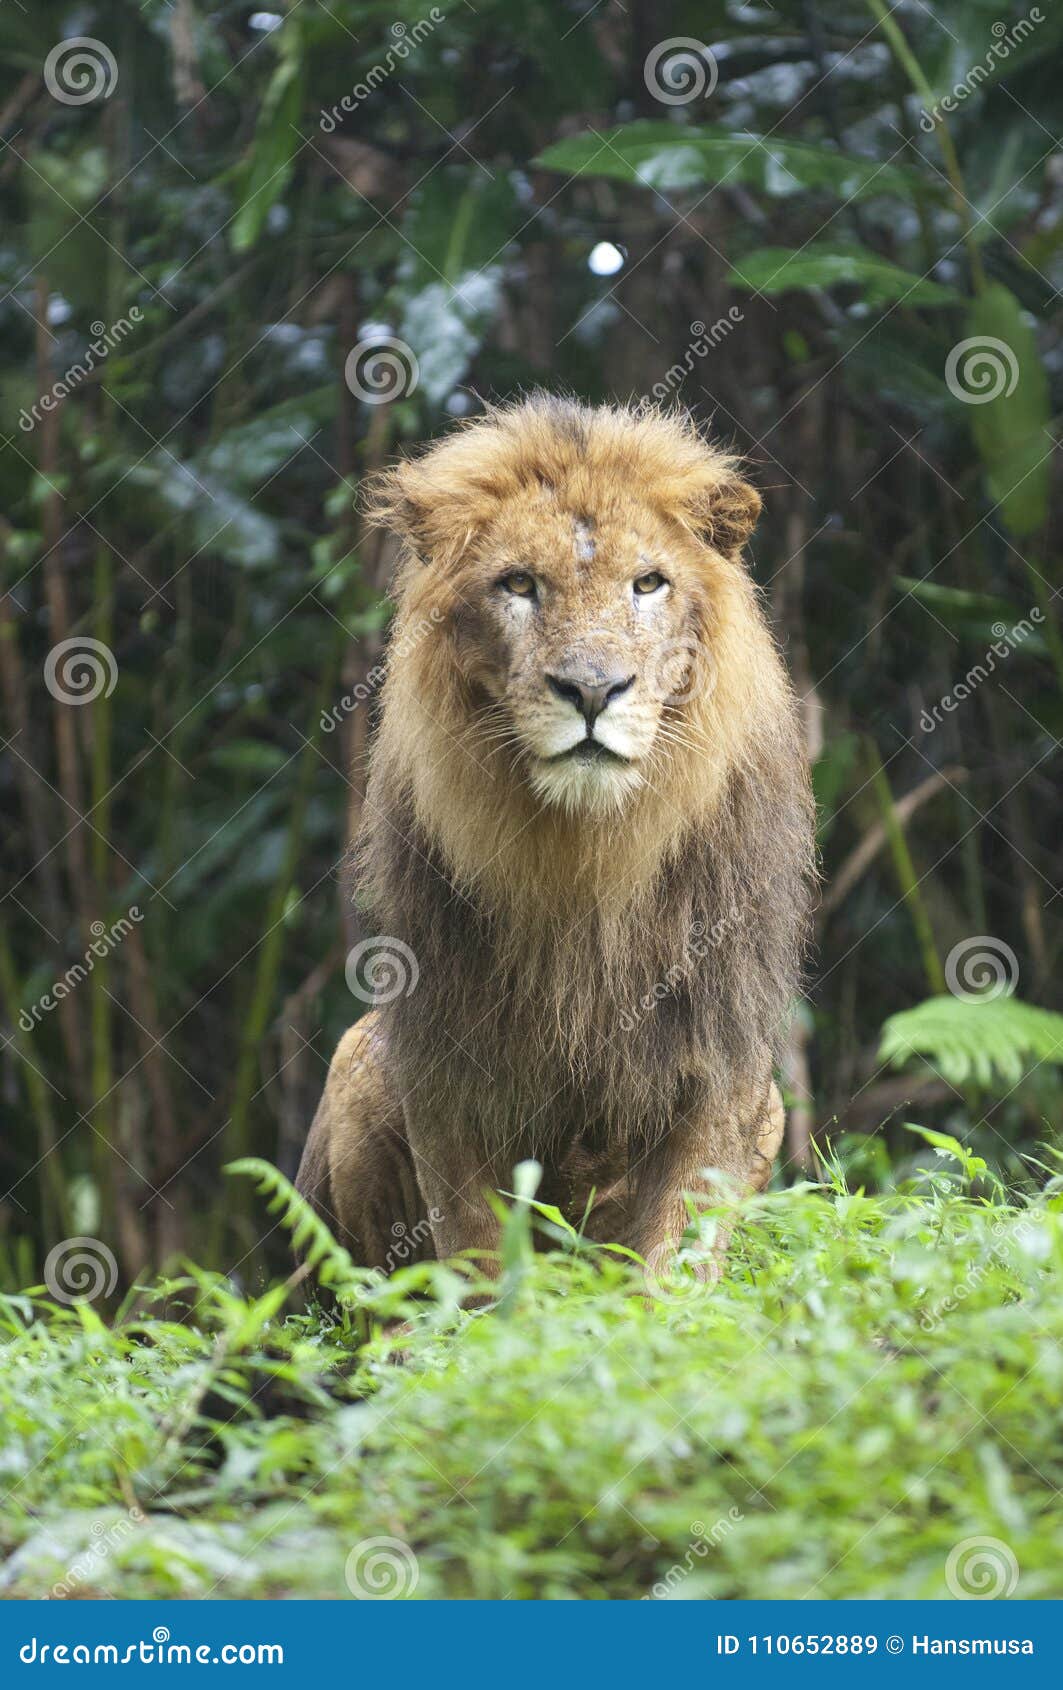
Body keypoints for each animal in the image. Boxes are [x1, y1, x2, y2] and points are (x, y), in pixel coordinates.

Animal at [296, 395, 816, 1281]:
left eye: (648, 582)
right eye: (517, 585)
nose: (592, 690)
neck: (586, 853)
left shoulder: (720, 1052)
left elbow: (672, 1252)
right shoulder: (443, 1055)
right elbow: (471, 1251)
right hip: (357, 1059)